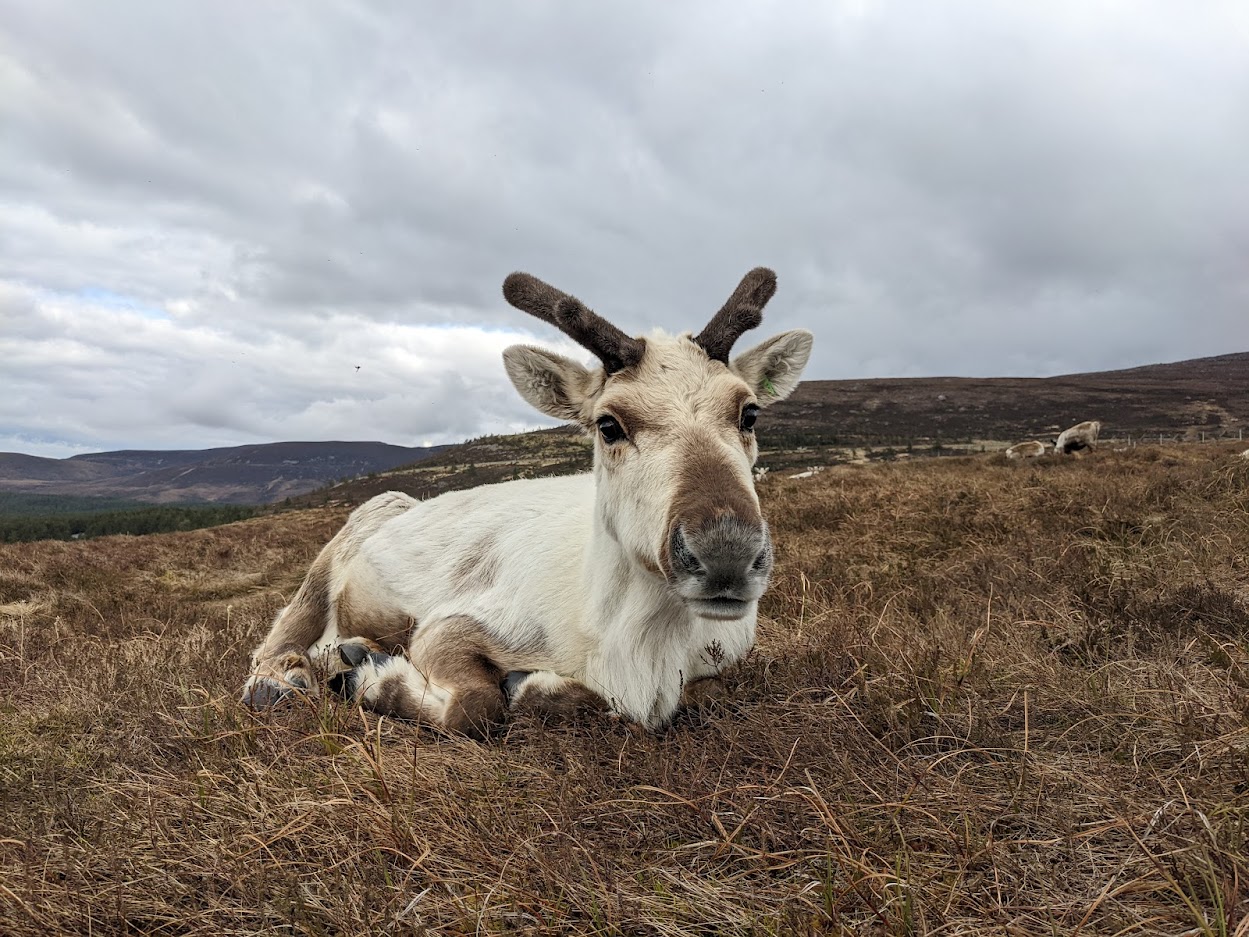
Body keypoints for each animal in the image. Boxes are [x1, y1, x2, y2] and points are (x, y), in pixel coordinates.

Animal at [241, 268, 813, 736]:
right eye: (608, 424)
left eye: (750, 412)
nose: (725, 554)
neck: (639, 648)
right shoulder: (450, 627)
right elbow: (476, 706)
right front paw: (374, 679)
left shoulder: (723, 661)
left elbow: (702, 696)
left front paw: (536, 687)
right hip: (353, 530)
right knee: (287, 622)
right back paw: (281, 681)